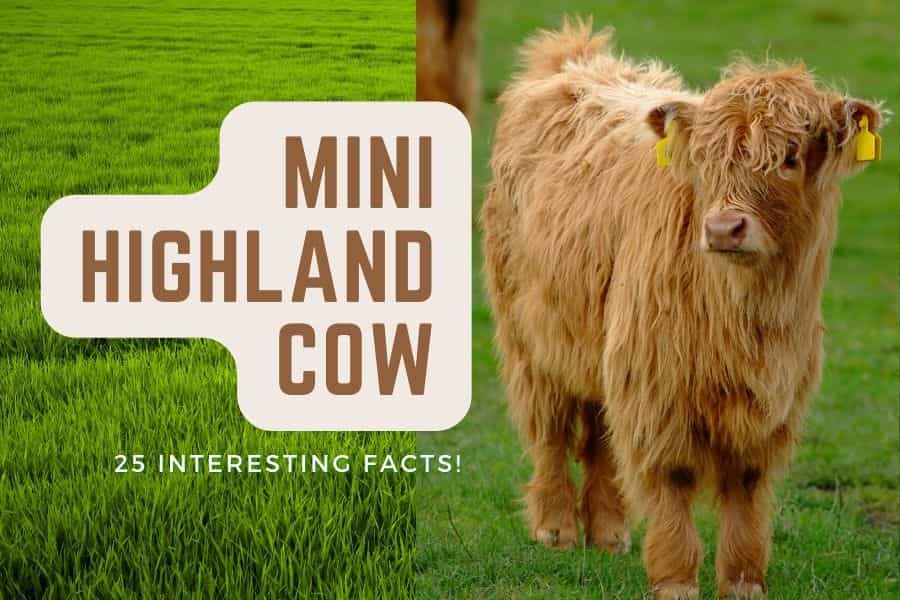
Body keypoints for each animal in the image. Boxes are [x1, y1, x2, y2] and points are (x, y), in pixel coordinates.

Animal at [480, 18, 884, 599]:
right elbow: (671, 478)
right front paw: (674, 578)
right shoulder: (655, 379)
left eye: (790, 156)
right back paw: (556, 528)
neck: (746, 318)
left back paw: (608, 532)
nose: (723, 228)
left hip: (599, 343)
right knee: (551, 430)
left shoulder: (772, 396)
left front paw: (743, 580)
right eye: (709, 160)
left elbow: (745, 488)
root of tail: (575, 58)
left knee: (599, 435)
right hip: (530, 337)